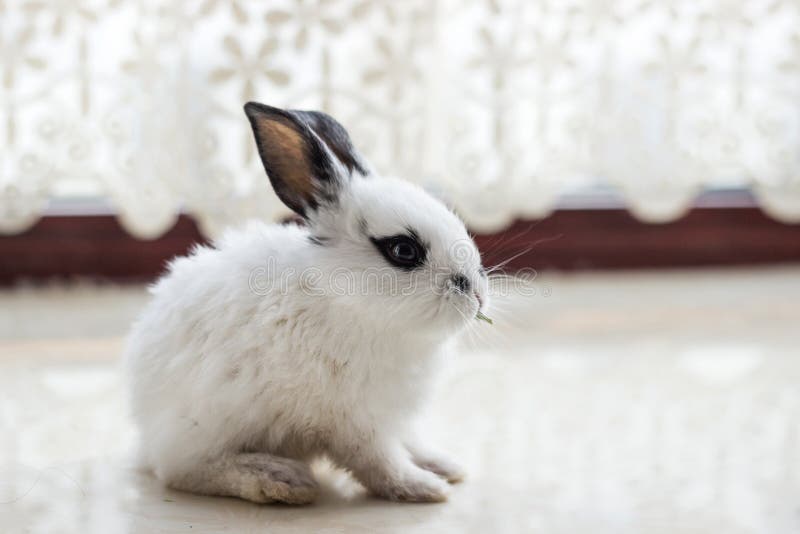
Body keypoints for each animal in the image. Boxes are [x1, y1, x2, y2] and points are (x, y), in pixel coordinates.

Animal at [124, 102, 490, 505]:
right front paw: (423, 488)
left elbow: (401, 443)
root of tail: (144, 426)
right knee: (182, 470)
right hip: (205, 424)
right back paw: (279, 479)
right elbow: (379, 463)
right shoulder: (356, 423)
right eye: (403, 250)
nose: (476, 293)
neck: (343, 301)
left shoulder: (386, 416)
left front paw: (441, 469)